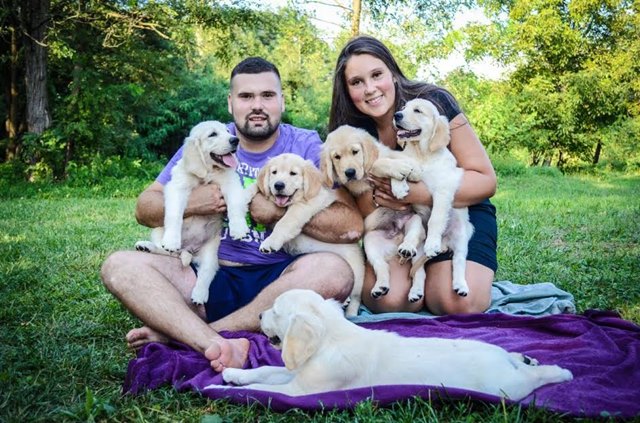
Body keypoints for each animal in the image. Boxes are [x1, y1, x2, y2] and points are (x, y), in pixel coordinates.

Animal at [135, 121, 250, 304]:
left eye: (227, 131)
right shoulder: (177, 188)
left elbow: (235, 205)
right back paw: (148, 246)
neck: (207, 172)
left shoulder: (231, 184)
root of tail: (188, 251)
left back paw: (199, 294)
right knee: (167, 252)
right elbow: (175, 214)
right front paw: (172, 240)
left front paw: (238, 228)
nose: (235, 140)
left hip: (211, 253)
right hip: (158, 230)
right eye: (212, 134)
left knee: (206, 272)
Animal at [206, 290, 576, 400]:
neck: (329, 340)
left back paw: (558, 372)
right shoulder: (299, 375)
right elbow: (266, 371)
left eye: (276, 311)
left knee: (533, 379)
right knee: (515, 357)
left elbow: (264, 390)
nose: (259, 315)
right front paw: (236, 375)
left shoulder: (301, 391)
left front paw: (221, 389)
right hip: (499, 358)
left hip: (505, 388)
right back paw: (524, 356)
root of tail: (501, 360)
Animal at [245, 154, 364, 316]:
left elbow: (285, 222)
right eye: (274, 172)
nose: (278, 185)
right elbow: (256, 187)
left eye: (293, 173)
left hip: (357, 276)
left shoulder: (304, 205)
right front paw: (240, 198)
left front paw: (271, 242)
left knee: (355, 300)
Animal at [320, 126, 430, 304]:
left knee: (415, 255)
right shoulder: (358, 183)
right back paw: (382, 287)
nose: (349, 172)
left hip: (415, 222)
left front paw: (411, 172)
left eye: (355, 151)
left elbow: (398, 158)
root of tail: (397, 239)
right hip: (371, 242)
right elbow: (376, 165)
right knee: (383, 267)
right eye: (337, 157)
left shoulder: (390, 153)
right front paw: (399, 175)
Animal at [390, 100, 476, 296]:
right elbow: (398, 168)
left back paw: (460, 285)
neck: (422, 154)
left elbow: (436, 219)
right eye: (403, 108)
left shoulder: (443, 190)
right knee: (418, 269)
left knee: (459, 262)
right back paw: (415, 289)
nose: (396, 115)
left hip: (462, 236)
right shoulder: (405, 162)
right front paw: (399, 187)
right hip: (417, 240)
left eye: (417, 110)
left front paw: (432, 243)